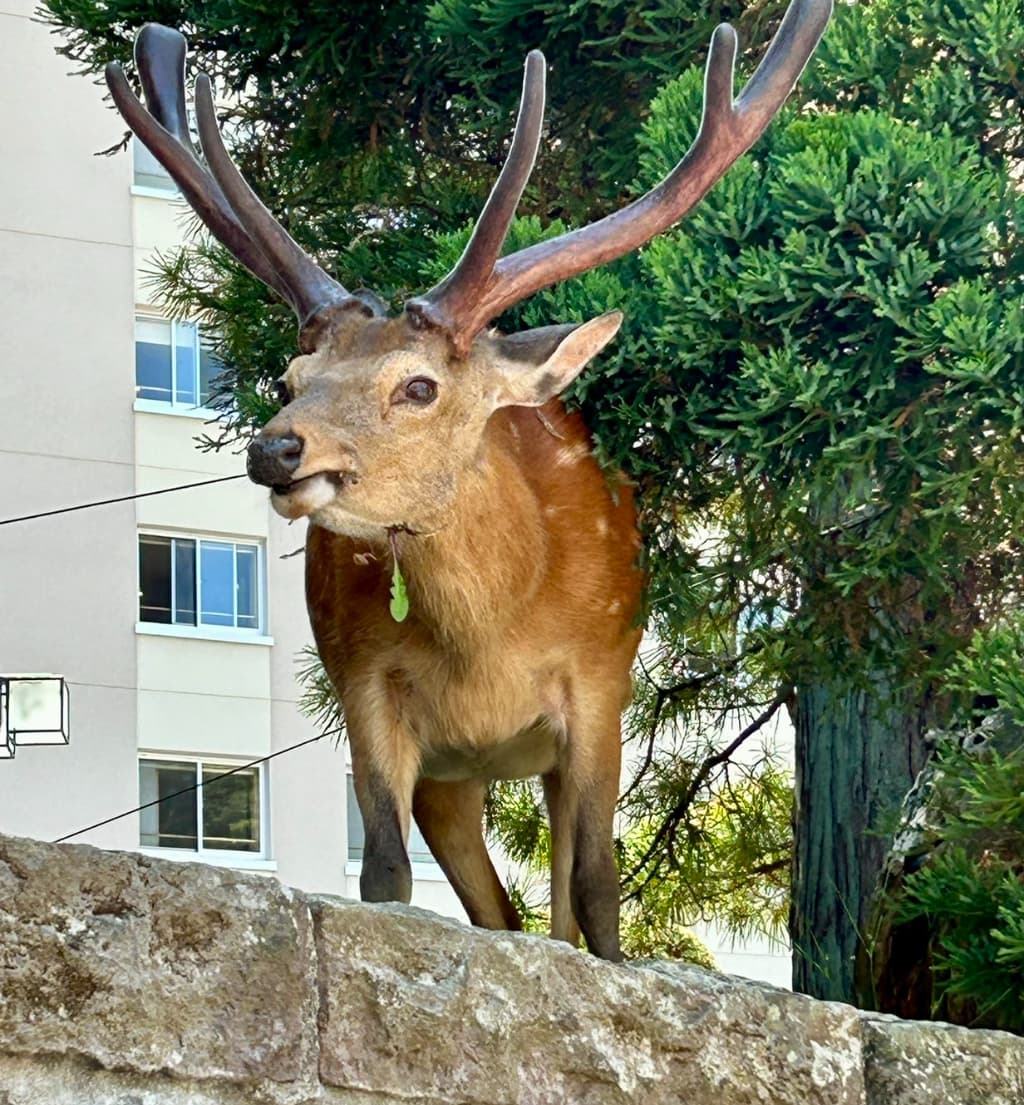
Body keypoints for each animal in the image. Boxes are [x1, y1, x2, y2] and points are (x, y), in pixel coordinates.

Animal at [106, 0, 830, 962]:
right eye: (292, 378)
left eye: (418, 386)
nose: (277, 450)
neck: (494, 633)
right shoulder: (365, 685)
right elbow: (384, 875)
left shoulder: (599, 683)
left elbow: (598, 893)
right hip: (451, 781)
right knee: (502, 911)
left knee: (557, 903)